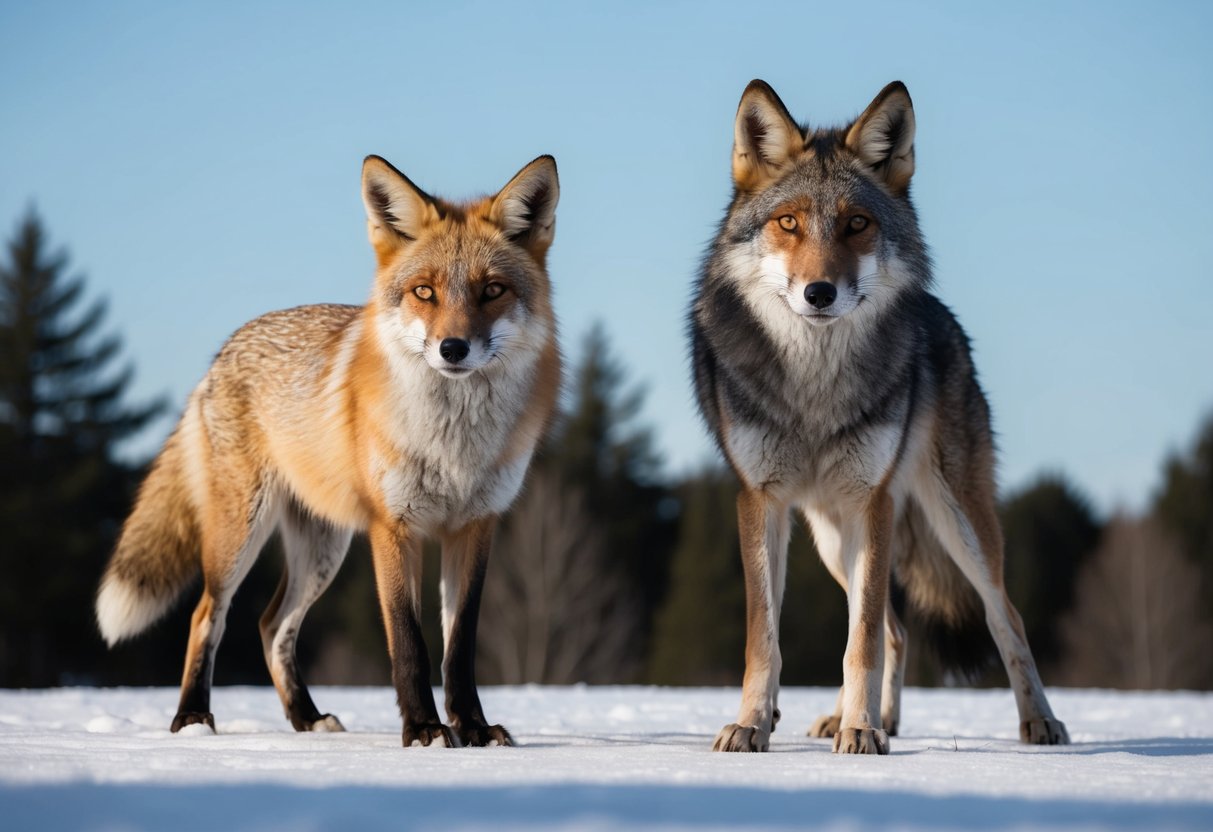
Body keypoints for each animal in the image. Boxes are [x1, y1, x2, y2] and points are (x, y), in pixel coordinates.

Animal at [95, 153, 561, 747]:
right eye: (425, 292)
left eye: (492, 291)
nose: (452, 348)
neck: (453, 448)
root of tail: (223, 351)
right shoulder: (393, 526)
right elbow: (409, 641)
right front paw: (424, 729)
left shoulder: (476, 526)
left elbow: (458, 648)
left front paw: (473, 728)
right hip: (241, 534)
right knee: (207, 616)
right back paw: (193, 718)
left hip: (322, 548)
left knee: (271, 625)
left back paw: (306, 718)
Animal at [689, 80, 1069, 754]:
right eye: (789, 223)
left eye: (857, 224)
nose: (819, 293)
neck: (814, 386)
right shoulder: (761, 500)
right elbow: (767, 639)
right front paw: (754, 725)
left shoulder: (874, 499)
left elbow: (858, 642)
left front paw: (862, 733)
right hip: (833, 539)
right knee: (895, 629)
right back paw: (859, 717)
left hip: (952, 519)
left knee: (1004, 617)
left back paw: (1037, 721)